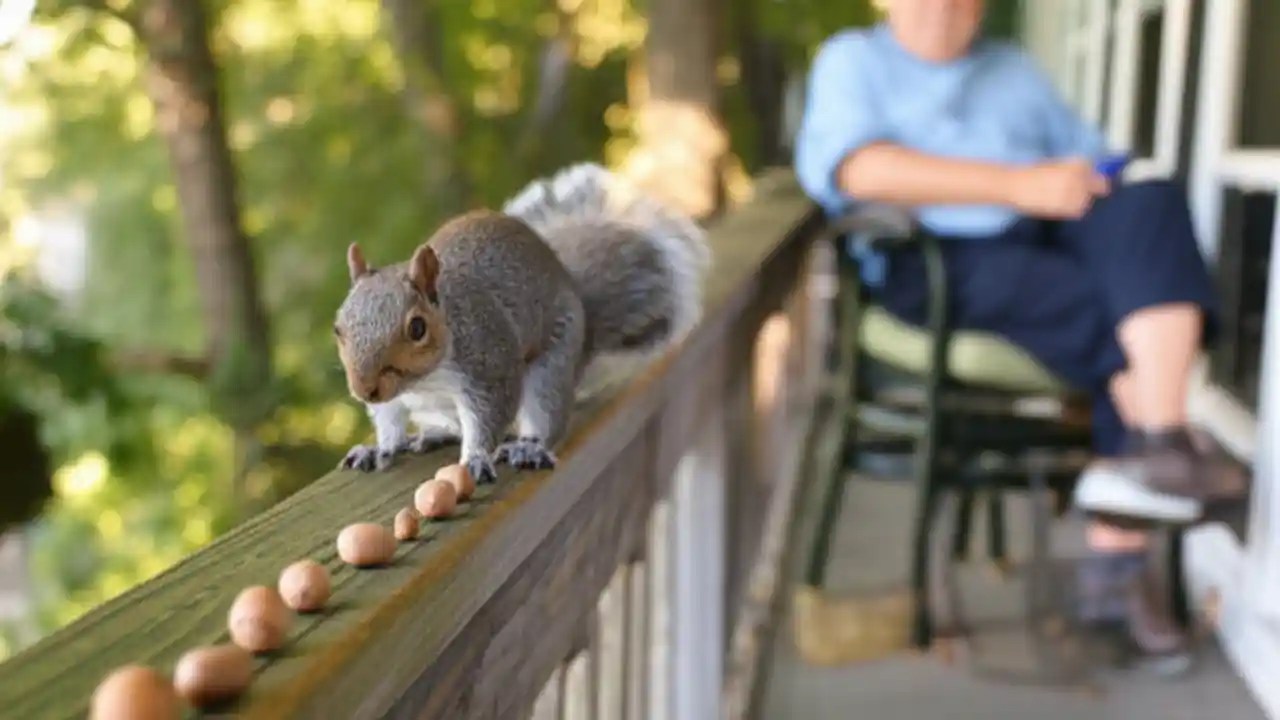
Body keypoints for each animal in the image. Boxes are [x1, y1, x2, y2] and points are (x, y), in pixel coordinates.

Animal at [333, 163, 710, 484]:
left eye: (417, 328)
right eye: (338, 329)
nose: (364, 389)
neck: (423, 381)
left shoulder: (489, 364)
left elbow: (488, 418)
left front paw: (474, 459)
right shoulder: (394, 400)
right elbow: (390, 423)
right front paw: (379, 448)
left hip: (553, 365)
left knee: (544, 415)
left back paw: (528, 446)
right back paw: (435, 434)